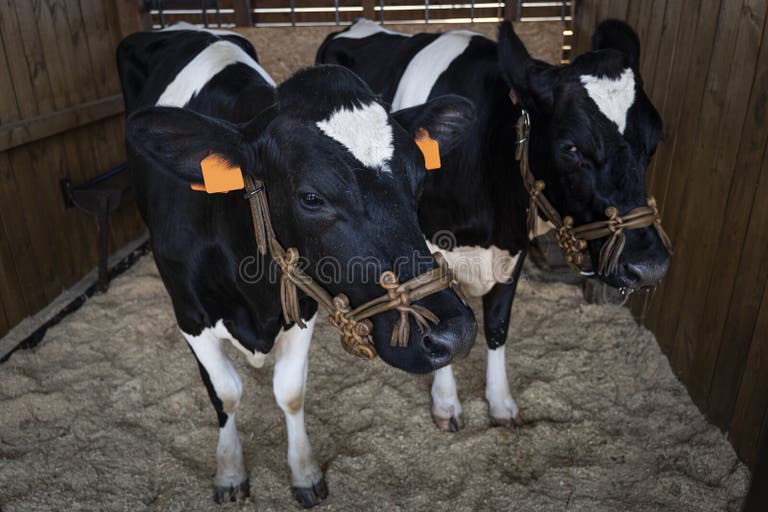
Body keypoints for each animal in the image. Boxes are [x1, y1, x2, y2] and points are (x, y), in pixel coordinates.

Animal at [117, 25, 477, 507]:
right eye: (311, 197)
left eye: (419, 180)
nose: (454, 333)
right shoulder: (189, 314)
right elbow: (225, 394)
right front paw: (229, 471)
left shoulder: (303, 301)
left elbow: (289, 392)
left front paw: (304, 473)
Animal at [317, 19, 670, 431]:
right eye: (571, 147)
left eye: (655, 140)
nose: (649, 265)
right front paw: (446, 404)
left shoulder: (512, 248)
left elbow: (498, 325)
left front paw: (500, 403)